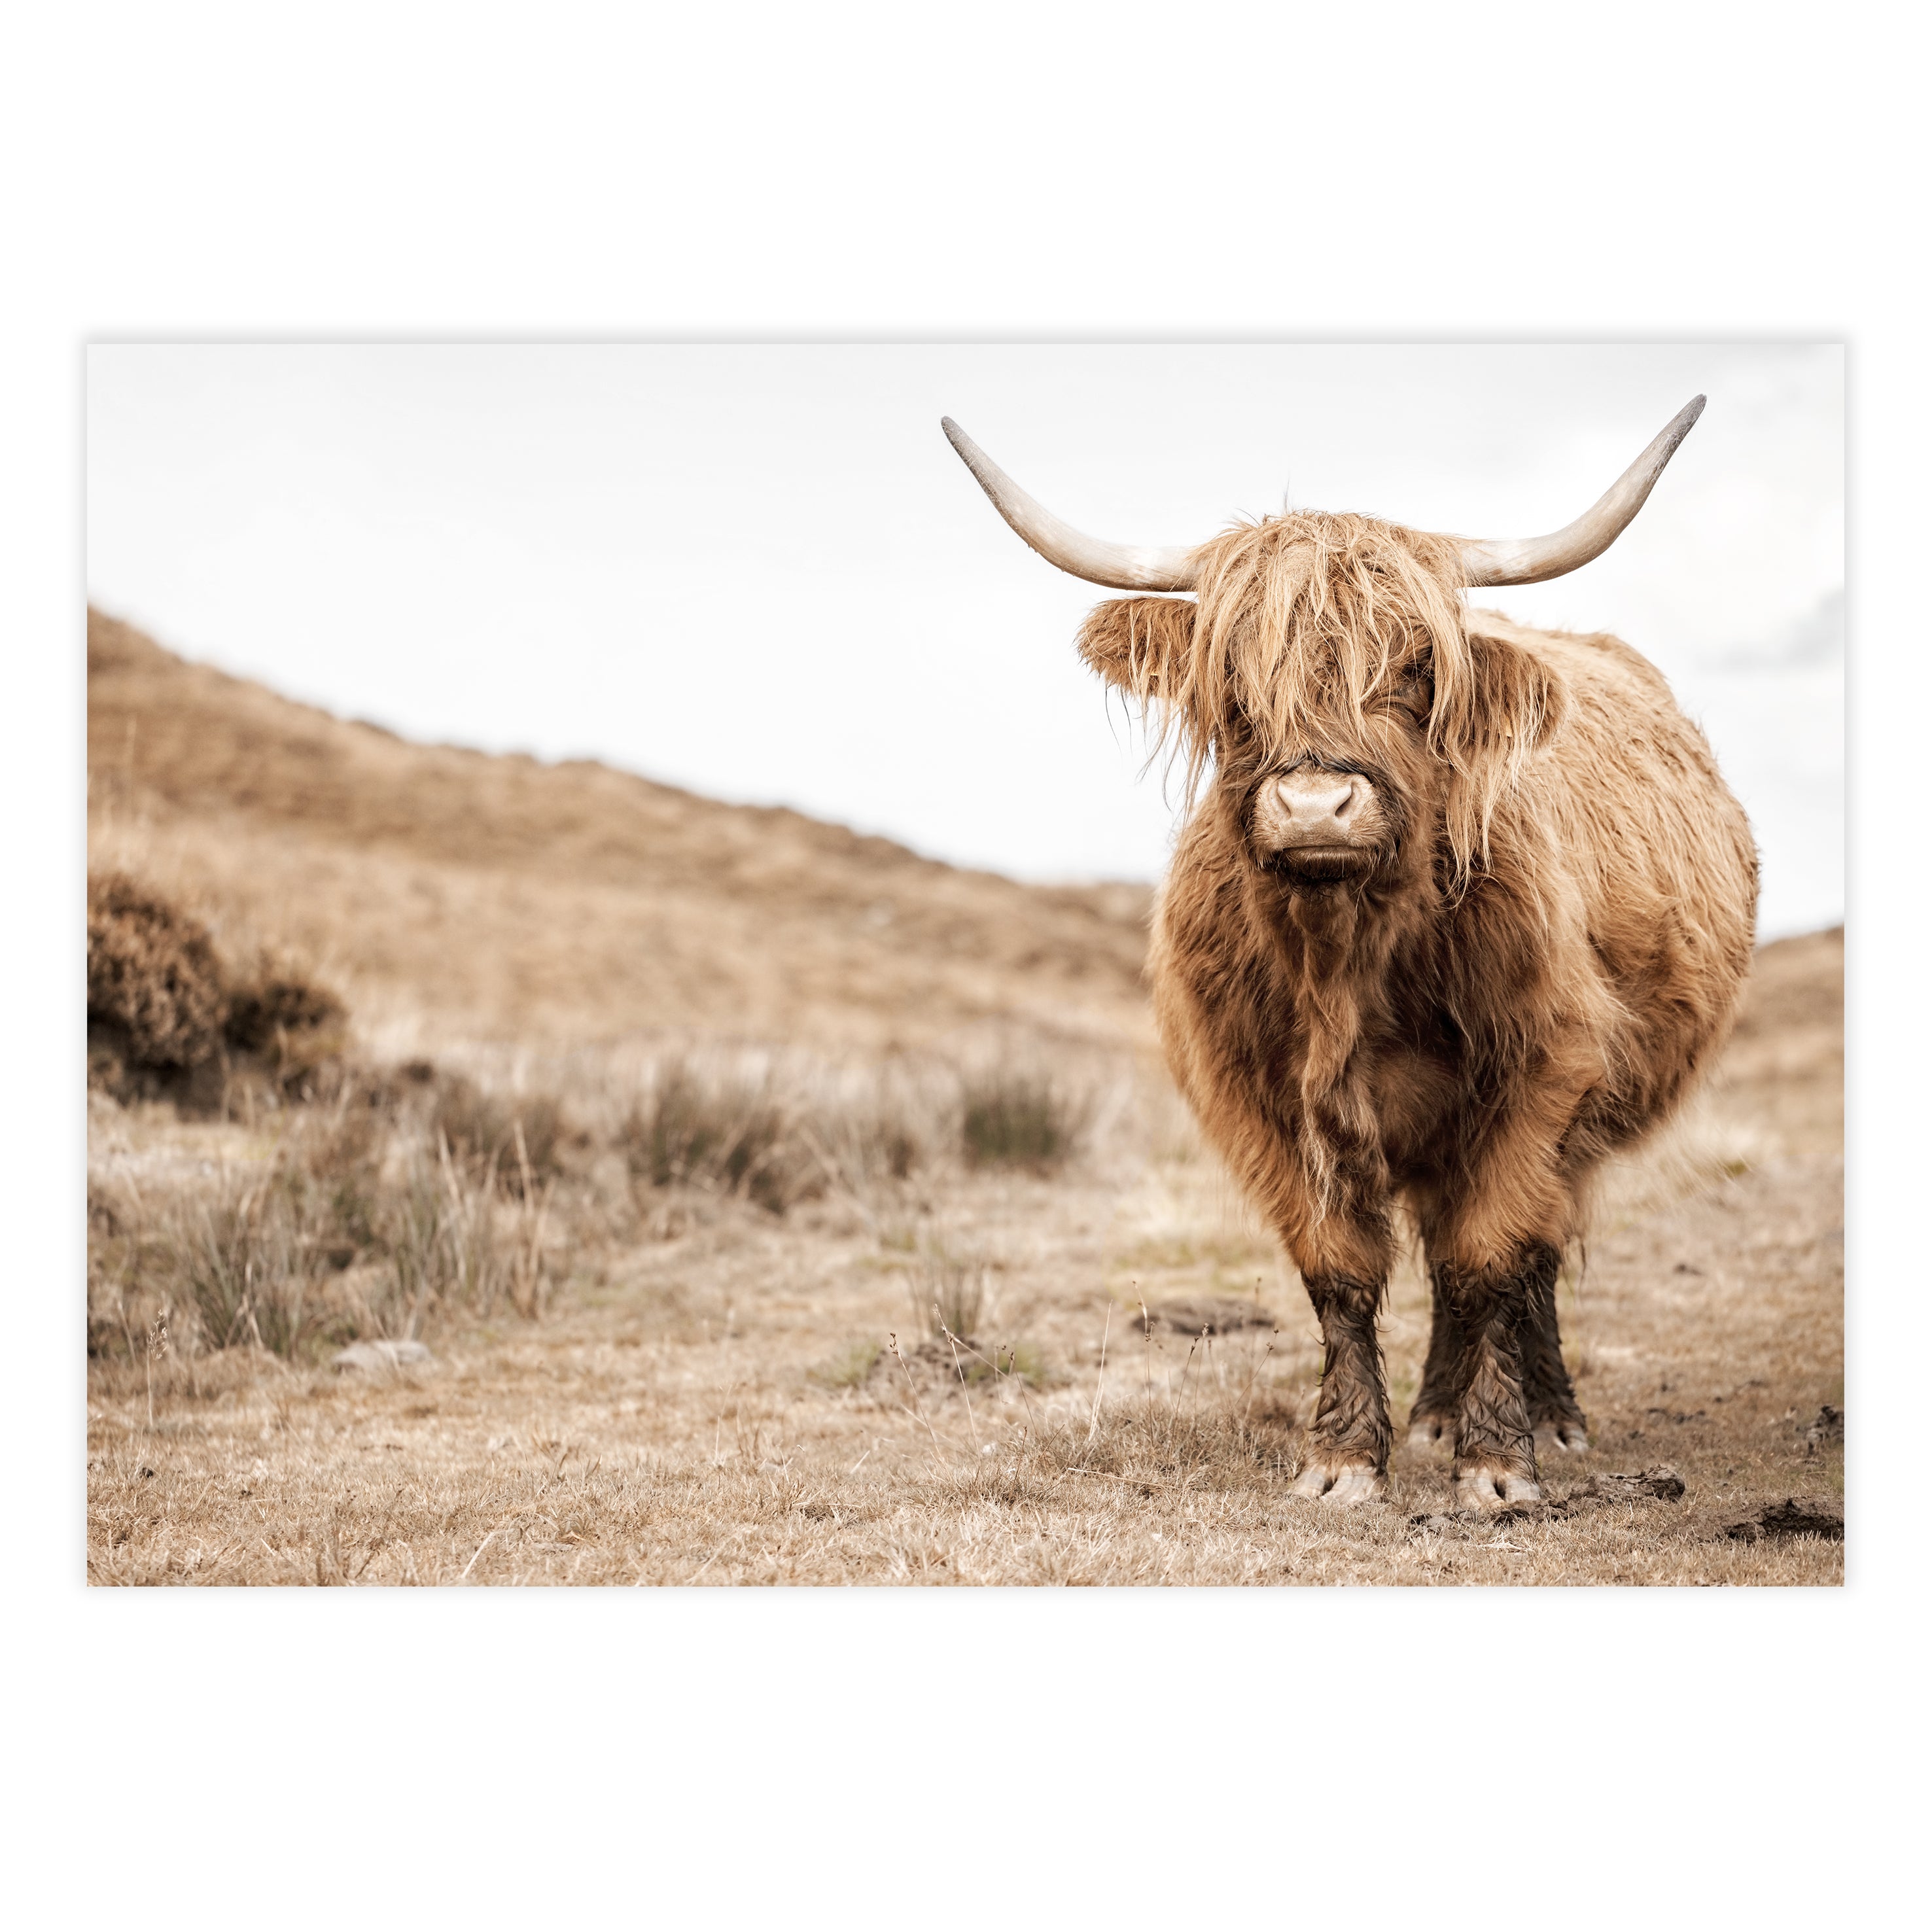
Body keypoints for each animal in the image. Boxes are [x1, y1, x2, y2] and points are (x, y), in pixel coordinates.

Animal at [943, 399, 1757, 1509]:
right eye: (1233, 676)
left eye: (1415, 668)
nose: (1315, 805)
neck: (1347, 961)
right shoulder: (1258, 1097)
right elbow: (1339, 1270)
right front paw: (1342, 1457)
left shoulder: (1543, 1074)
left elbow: (1491, 1255)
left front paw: (1496, 1463)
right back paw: (1431, 1414)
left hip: (1580, 1124)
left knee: (1526, 1258)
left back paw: (1545, 1415)